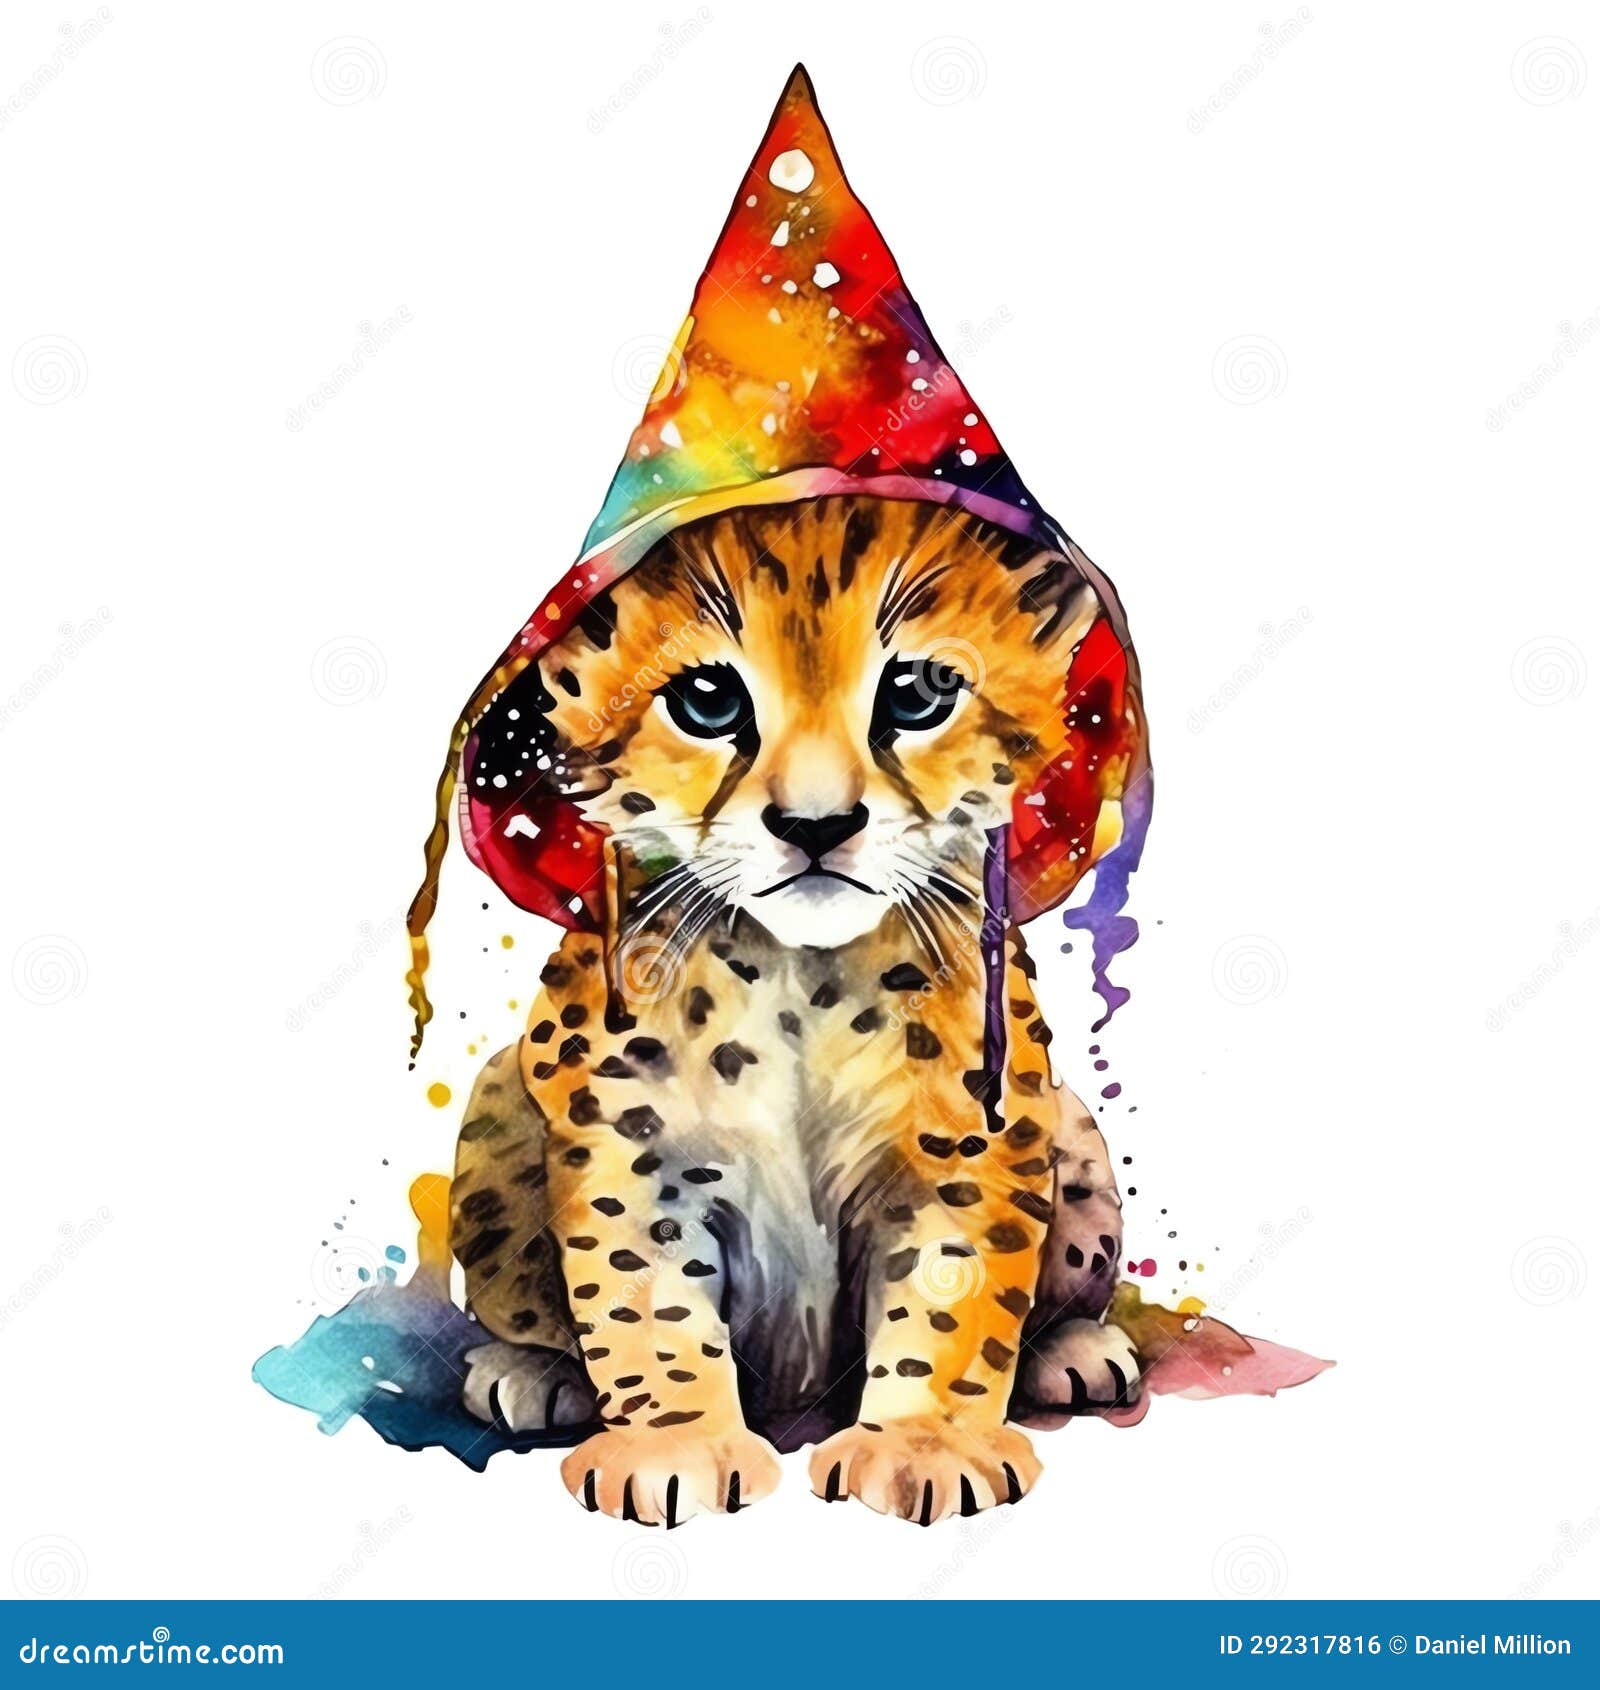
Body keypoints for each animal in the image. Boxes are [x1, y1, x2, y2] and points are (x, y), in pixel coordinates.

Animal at [435, 492, 1148, 1526]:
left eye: (920, 692)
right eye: (707, 700)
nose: (817, 825)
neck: (802, 980)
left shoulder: (964, 1150)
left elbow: (950, 1302)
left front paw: (926, 1444)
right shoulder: (634, 1158)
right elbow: (642, 1309)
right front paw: (675, 1445)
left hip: (1072, 1127)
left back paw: (1071, 1350)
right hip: (497, 1101)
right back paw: (532, 1370)